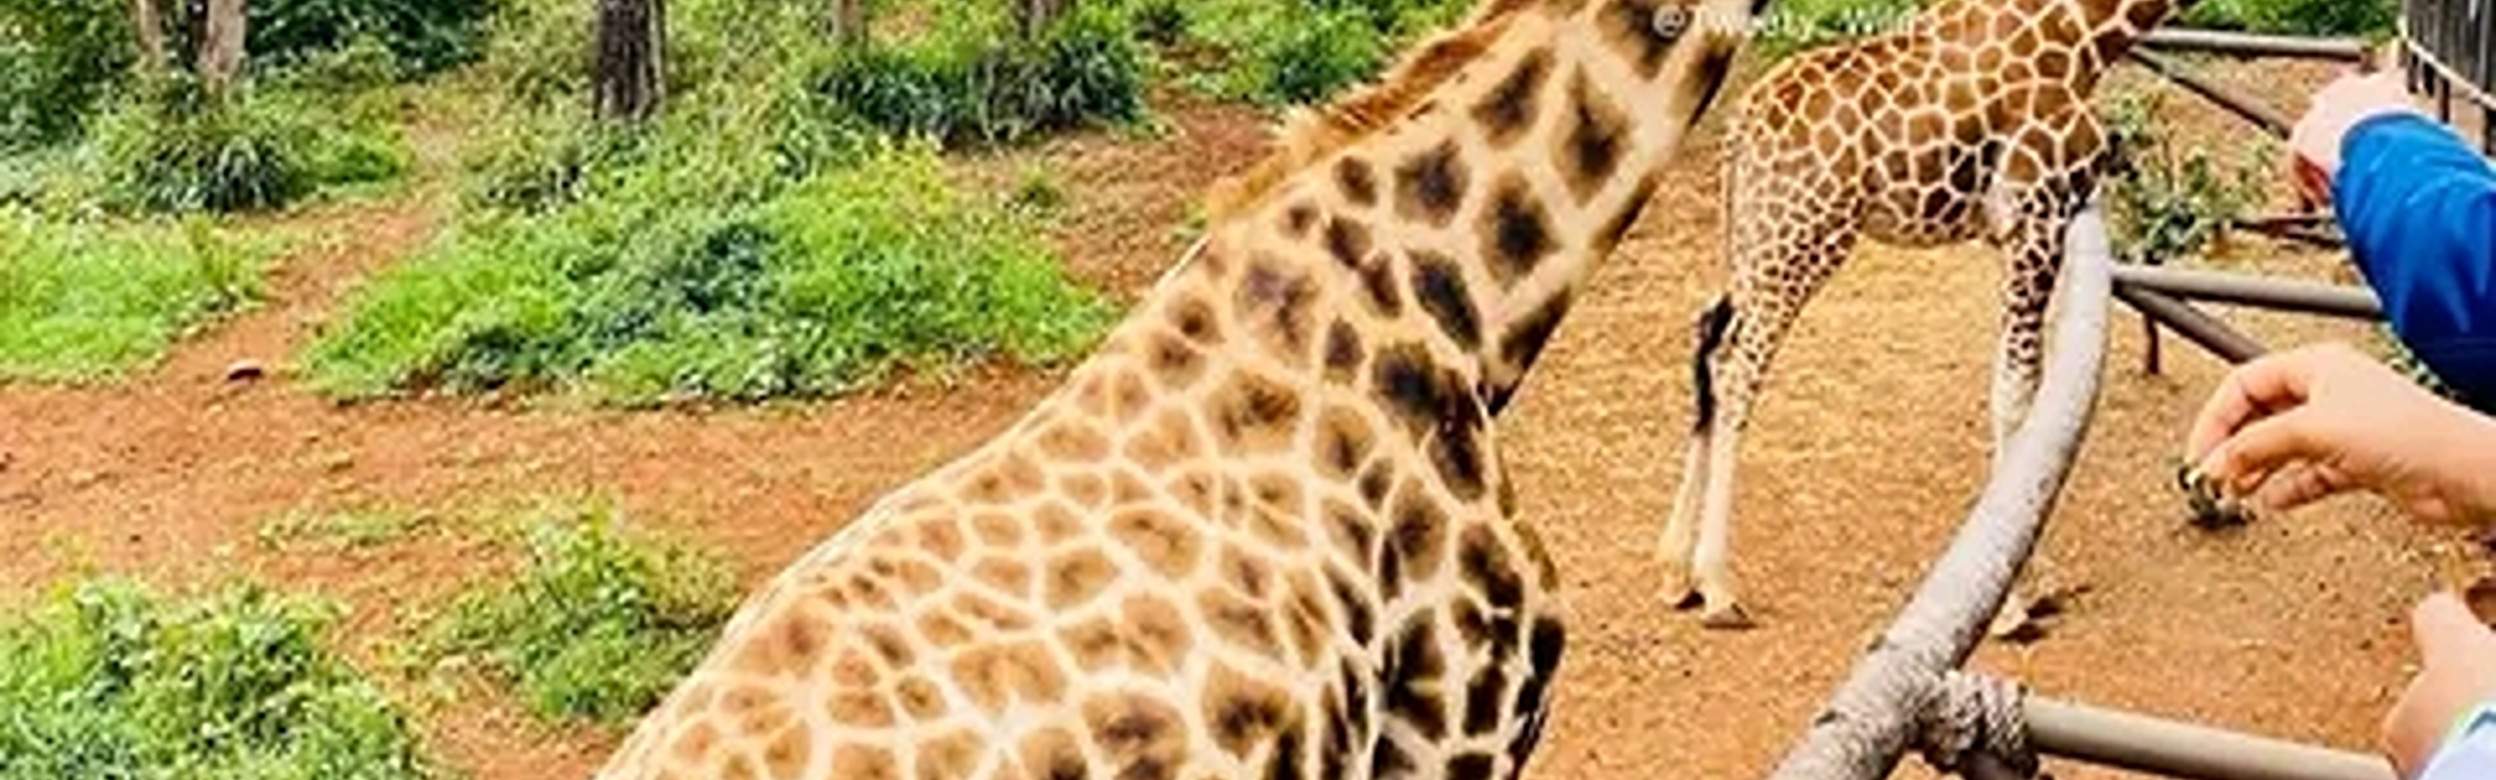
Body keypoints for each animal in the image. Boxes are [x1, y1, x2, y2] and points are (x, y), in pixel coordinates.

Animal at [1657, 0, 2187, 628]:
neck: (2085, 35)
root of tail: (1743, 123)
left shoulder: (2007, 235)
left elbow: (2018, 387)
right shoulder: (2035, 221)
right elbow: (2016, 394)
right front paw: (2016, 601)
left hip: (1750, 240)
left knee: (1709, 347)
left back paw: (1675, 572)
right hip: (1802, 241)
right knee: (1739, 371)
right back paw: (1718, 585)